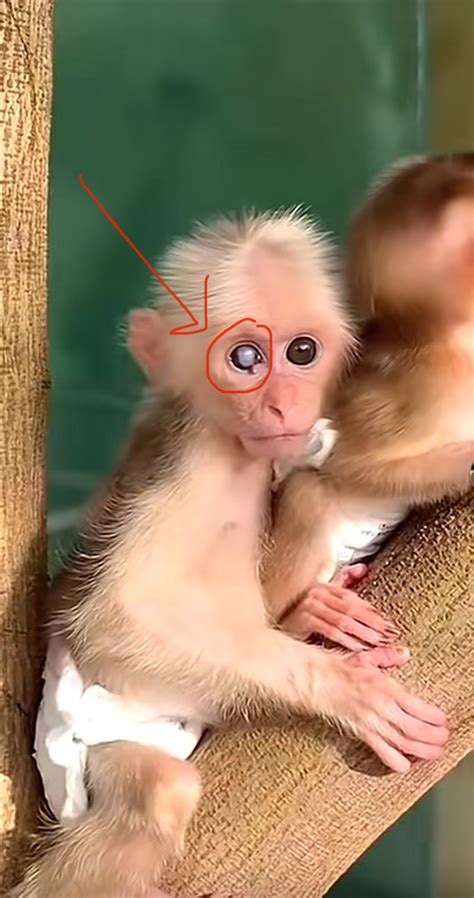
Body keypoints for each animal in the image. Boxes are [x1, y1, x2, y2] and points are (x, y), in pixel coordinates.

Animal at [9, 210, 448, 898]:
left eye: (302, 351)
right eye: (245, 358)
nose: (282, 403)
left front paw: (314, 612)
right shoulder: (197, 471)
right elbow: (112, 619)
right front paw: (341, 688)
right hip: (80, 744)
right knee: (161, 792)